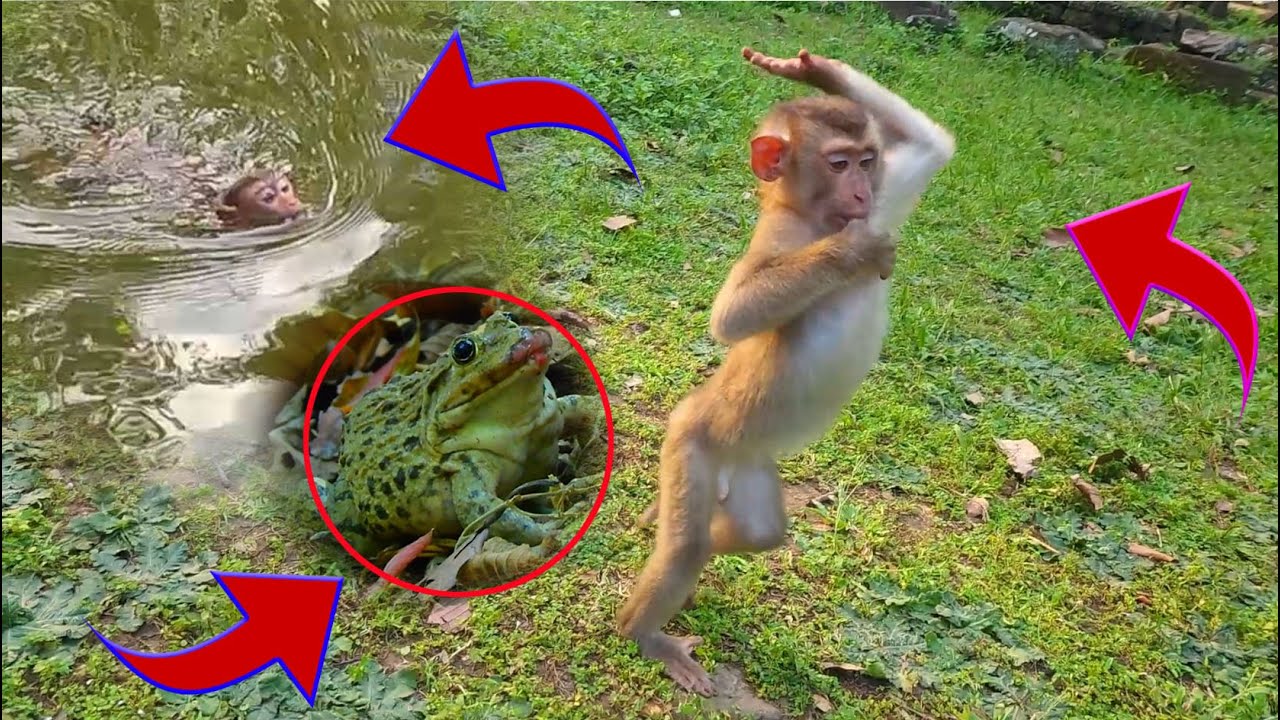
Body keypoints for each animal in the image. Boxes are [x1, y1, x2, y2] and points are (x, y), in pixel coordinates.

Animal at [614, 47, 956, 697]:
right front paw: (853, 253)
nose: (859, 192)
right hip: (693, 440)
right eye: (839, 163)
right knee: (687, 544)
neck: (817, 221)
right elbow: (734, 315)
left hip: (748, 467)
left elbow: (933, 149)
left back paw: (669, 532)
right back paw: (644, 631)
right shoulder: (781, 236)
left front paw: (813, 70)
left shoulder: (884, 199)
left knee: (758, 533)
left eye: (868, 161)